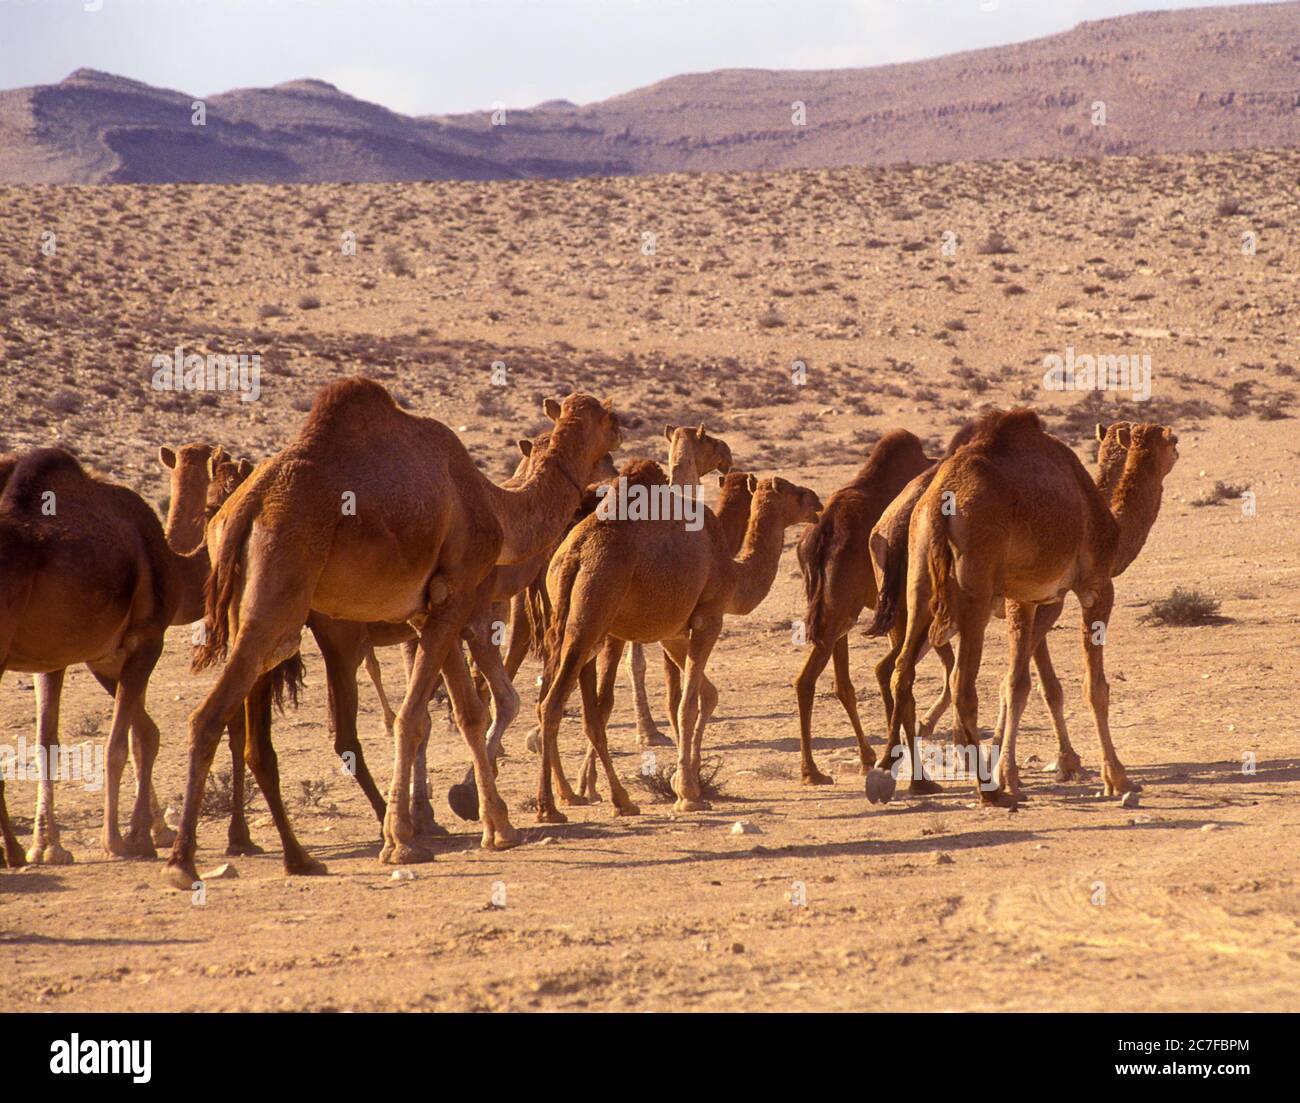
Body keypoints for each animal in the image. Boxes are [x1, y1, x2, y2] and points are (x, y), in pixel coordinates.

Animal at [0, 448, 208, 866]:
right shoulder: (147, 639)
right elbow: (123, 743)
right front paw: (121, 840)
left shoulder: (71, 657)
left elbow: (52, 742)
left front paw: (47, 846)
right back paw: (11, 852)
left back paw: (14, 851)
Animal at [163, 377, 621, 888]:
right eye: (611, 420)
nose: (620, 446)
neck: (498, 507)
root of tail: (241, 509)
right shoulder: (458, 599)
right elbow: (414, 718)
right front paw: (403, 840)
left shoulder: (436, 612)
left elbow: (468, 714)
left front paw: (497, 827)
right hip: (277, 604)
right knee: (210, 715)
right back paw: (185, 862)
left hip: (255, 614)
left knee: (240, 728)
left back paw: (291, 858)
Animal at [536, 461, 821, 820]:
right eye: (791, 490)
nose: (817, 500)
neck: (732, 573)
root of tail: (574, 555)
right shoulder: (709, 618)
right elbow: (687, 704)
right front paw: (687, 793)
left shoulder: (674, 633)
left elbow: (706, 695)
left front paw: (686, 780)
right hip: (592, 614)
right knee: (556, 704)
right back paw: (558, 807)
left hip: (565, 621)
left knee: (562, 704)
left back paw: (589, 797)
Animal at [792, 430, 935, 785]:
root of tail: (822, 533)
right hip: (841, 611)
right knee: (808, 680)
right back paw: (813, 771)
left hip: (836, 614)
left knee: (837, 684)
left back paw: (862, 758)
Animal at [888, 410, 1177, 806]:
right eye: (1172, 440)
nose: (1177, 447)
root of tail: (939, 502)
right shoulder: (1095, 588)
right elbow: (1090, 686)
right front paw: (1116, 778)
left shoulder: (1035, 598)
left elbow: (1029, 683)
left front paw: (1045, 764)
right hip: (974, 587)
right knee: (961, 682)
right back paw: (987, 789)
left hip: (920, 581)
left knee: (900, 671)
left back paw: (910, 777)